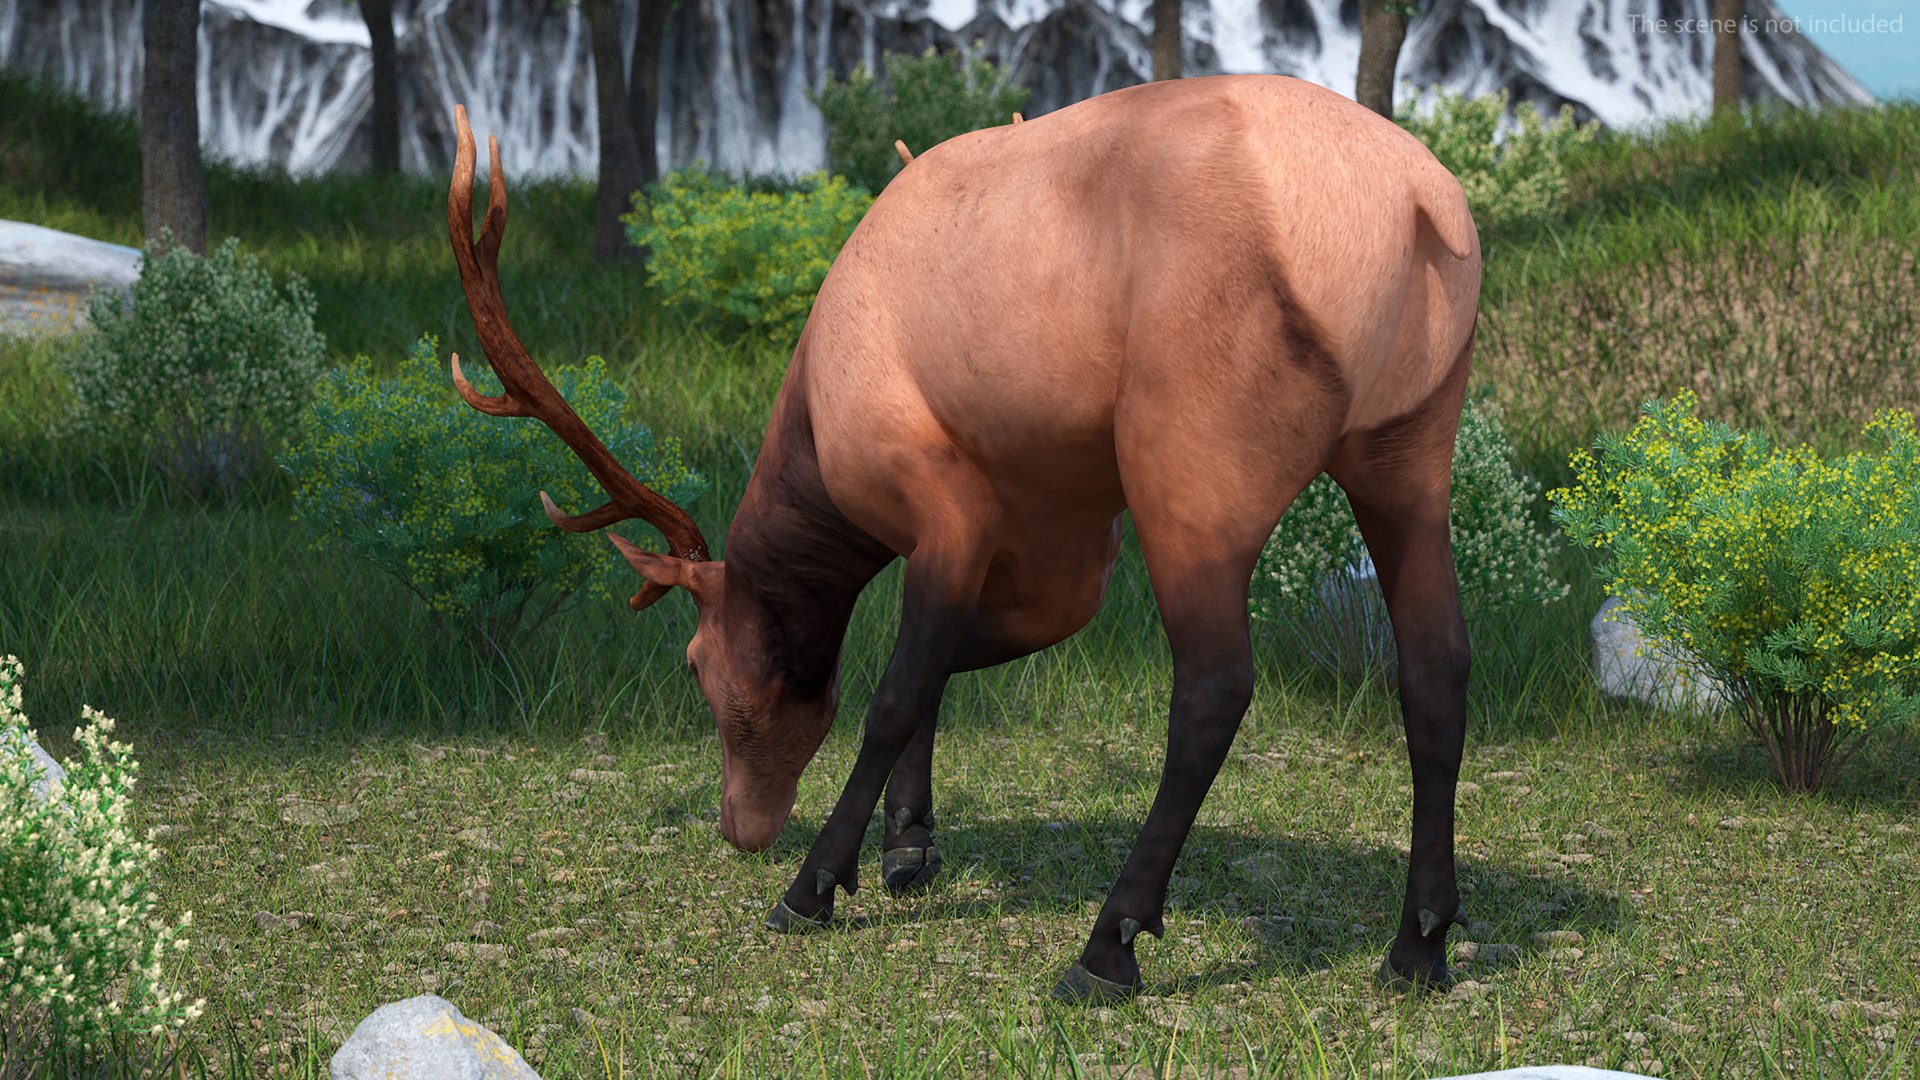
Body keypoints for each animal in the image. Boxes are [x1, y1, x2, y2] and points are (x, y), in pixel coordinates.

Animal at [446, 73, 1481, 1002]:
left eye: (696, 664)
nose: (741, 828)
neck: (814, 435)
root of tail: (1420, 211)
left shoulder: (941, 499)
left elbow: (894, 689)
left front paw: (819, 883)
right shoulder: (1061, 539)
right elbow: (950, 660)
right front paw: (909, 840)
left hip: (1195, 457)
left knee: (1216, 686)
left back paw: (1107, 946)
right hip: (1411, 449)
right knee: (1435, 665)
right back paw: (1419, 943)